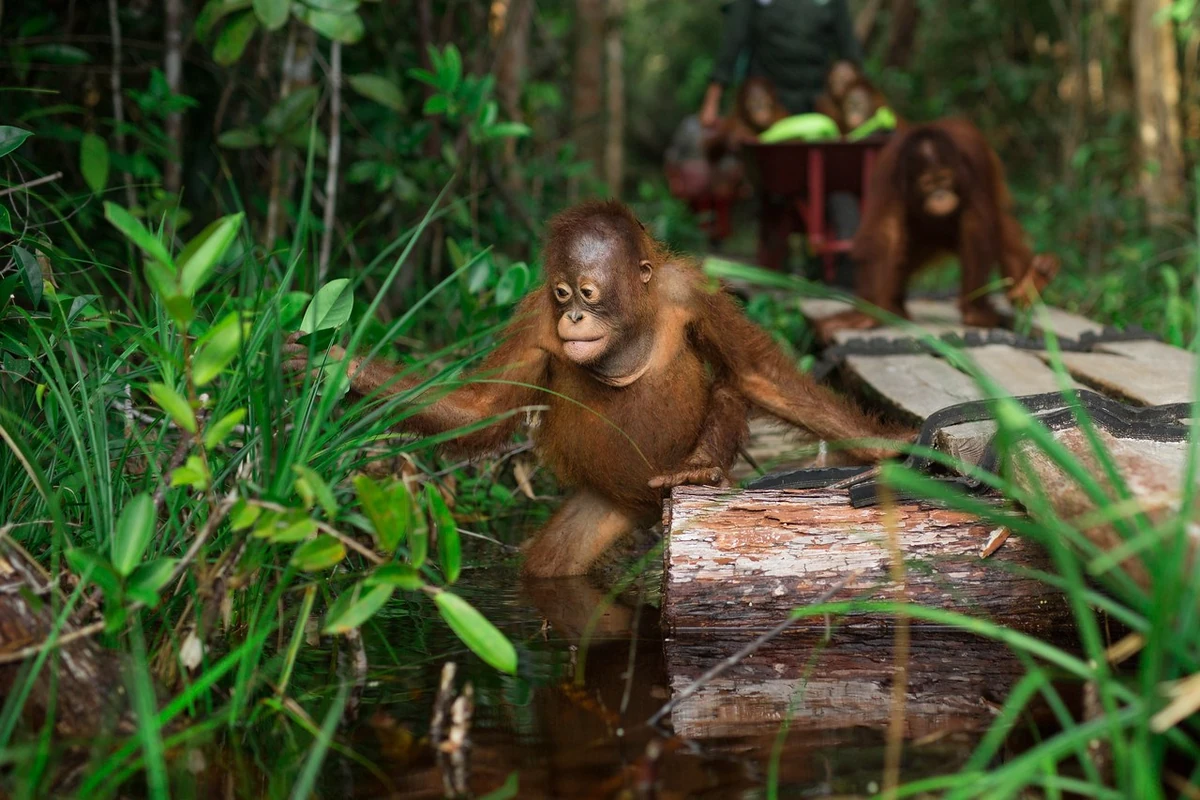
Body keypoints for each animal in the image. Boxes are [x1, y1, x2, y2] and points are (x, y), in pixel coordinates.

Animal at [285, 200, 907, 578]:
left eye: (589, 292)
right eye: (562, 293)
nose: (575, 319)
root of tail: (643, 511)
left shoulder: (691, 292)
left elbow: (755, 374)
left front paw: (898, 449)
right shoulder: (536, 323)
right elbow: (479, 408)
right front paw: (335, 365)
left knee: (729, 393)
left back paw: (701, 468)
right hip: (605, 503)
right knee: (550, 566)